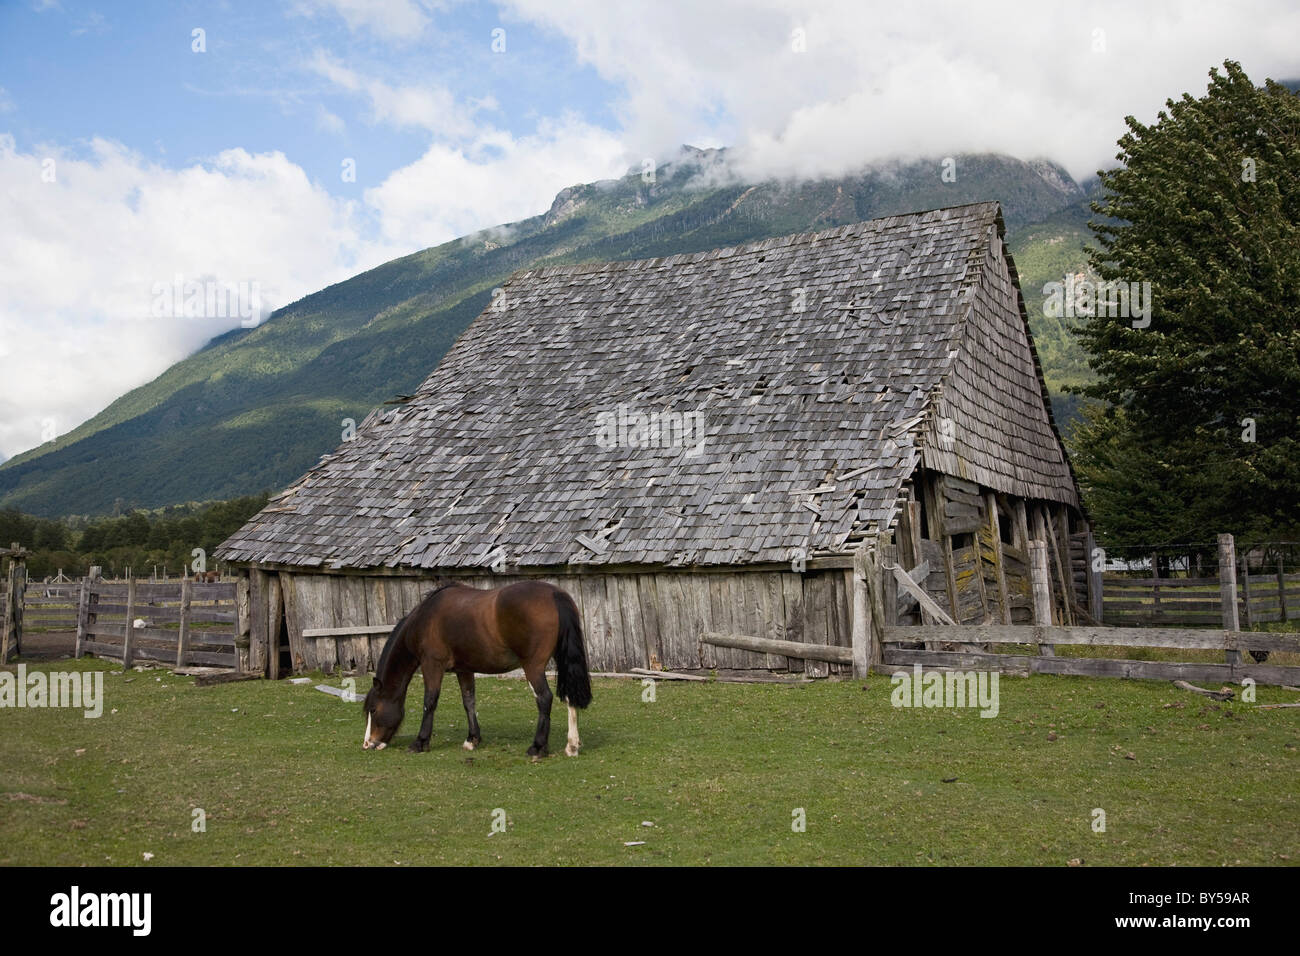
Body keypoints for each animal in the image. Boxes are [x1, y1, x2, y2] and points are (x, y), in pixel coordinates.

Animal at [362, 580, 592, 758]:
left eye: (373, 709)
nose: (368, 743)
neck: (425, 619)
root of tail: (554, 594)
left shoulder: (432, 664)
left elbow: (429, 702)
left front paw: (420, 742)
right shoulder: (464, 669)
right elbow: (468, 701)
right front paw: (473, 739)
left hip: (533, 667)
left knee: (544, 698)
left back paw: (537, 747)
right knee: (569, 697)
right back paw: (572, 746)